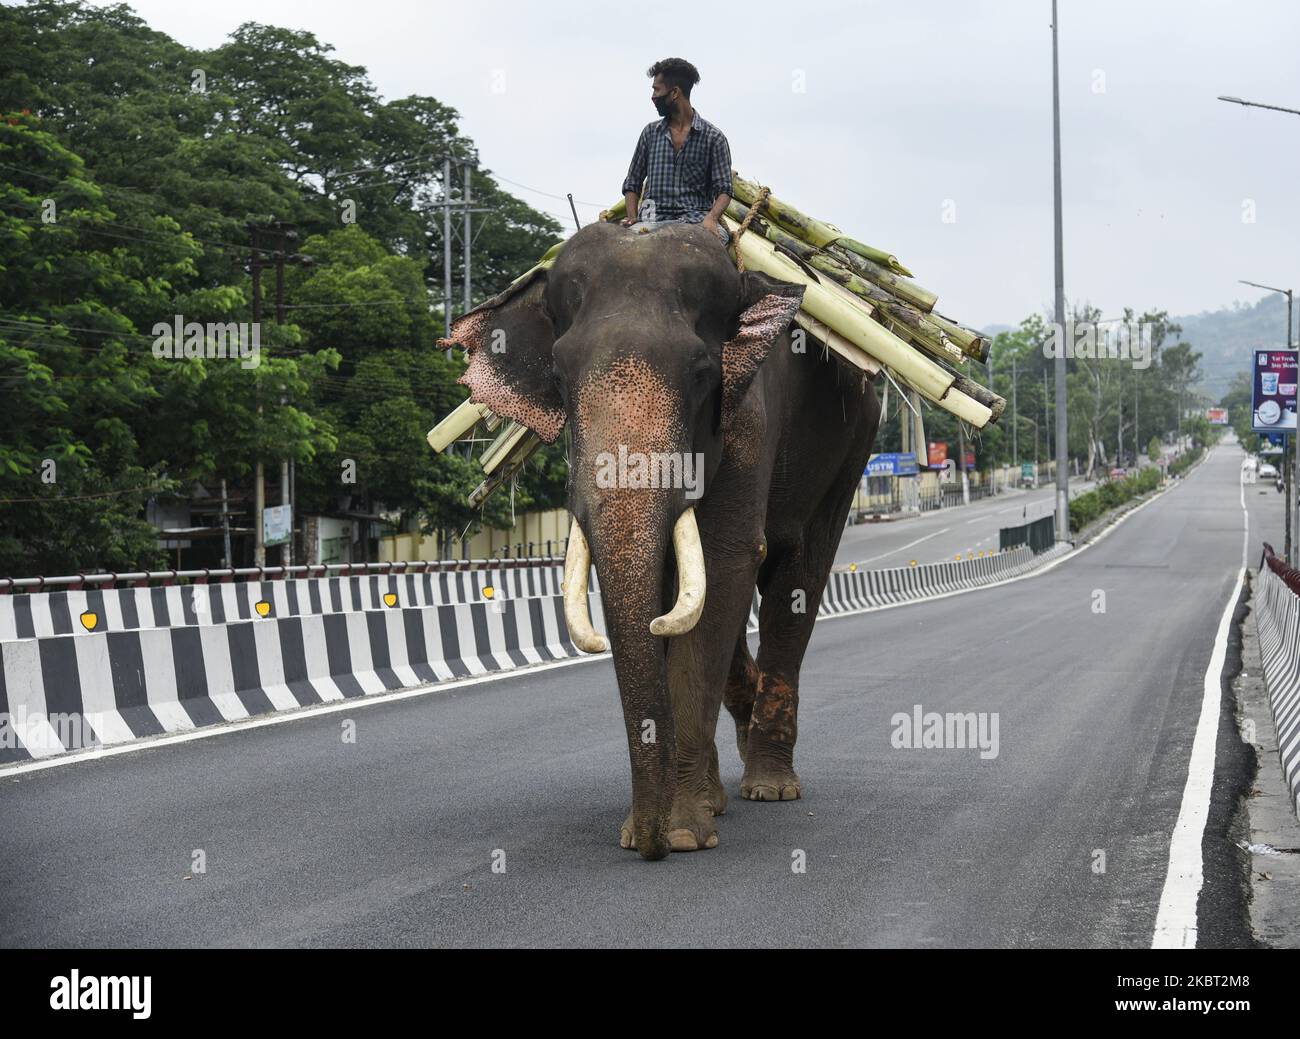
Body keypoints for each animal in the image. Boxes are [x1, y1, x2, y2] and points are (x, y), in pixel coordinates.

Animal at [443, 220, 881, 860]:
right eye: (558, 377)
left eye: (701, 372)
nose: (644, 846)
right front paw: (663, 826)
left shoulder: (749, 414)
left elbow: (725, 562)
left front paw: (681, 833)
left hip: (854, 444)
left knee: (797, 580)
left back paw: (769, 787)